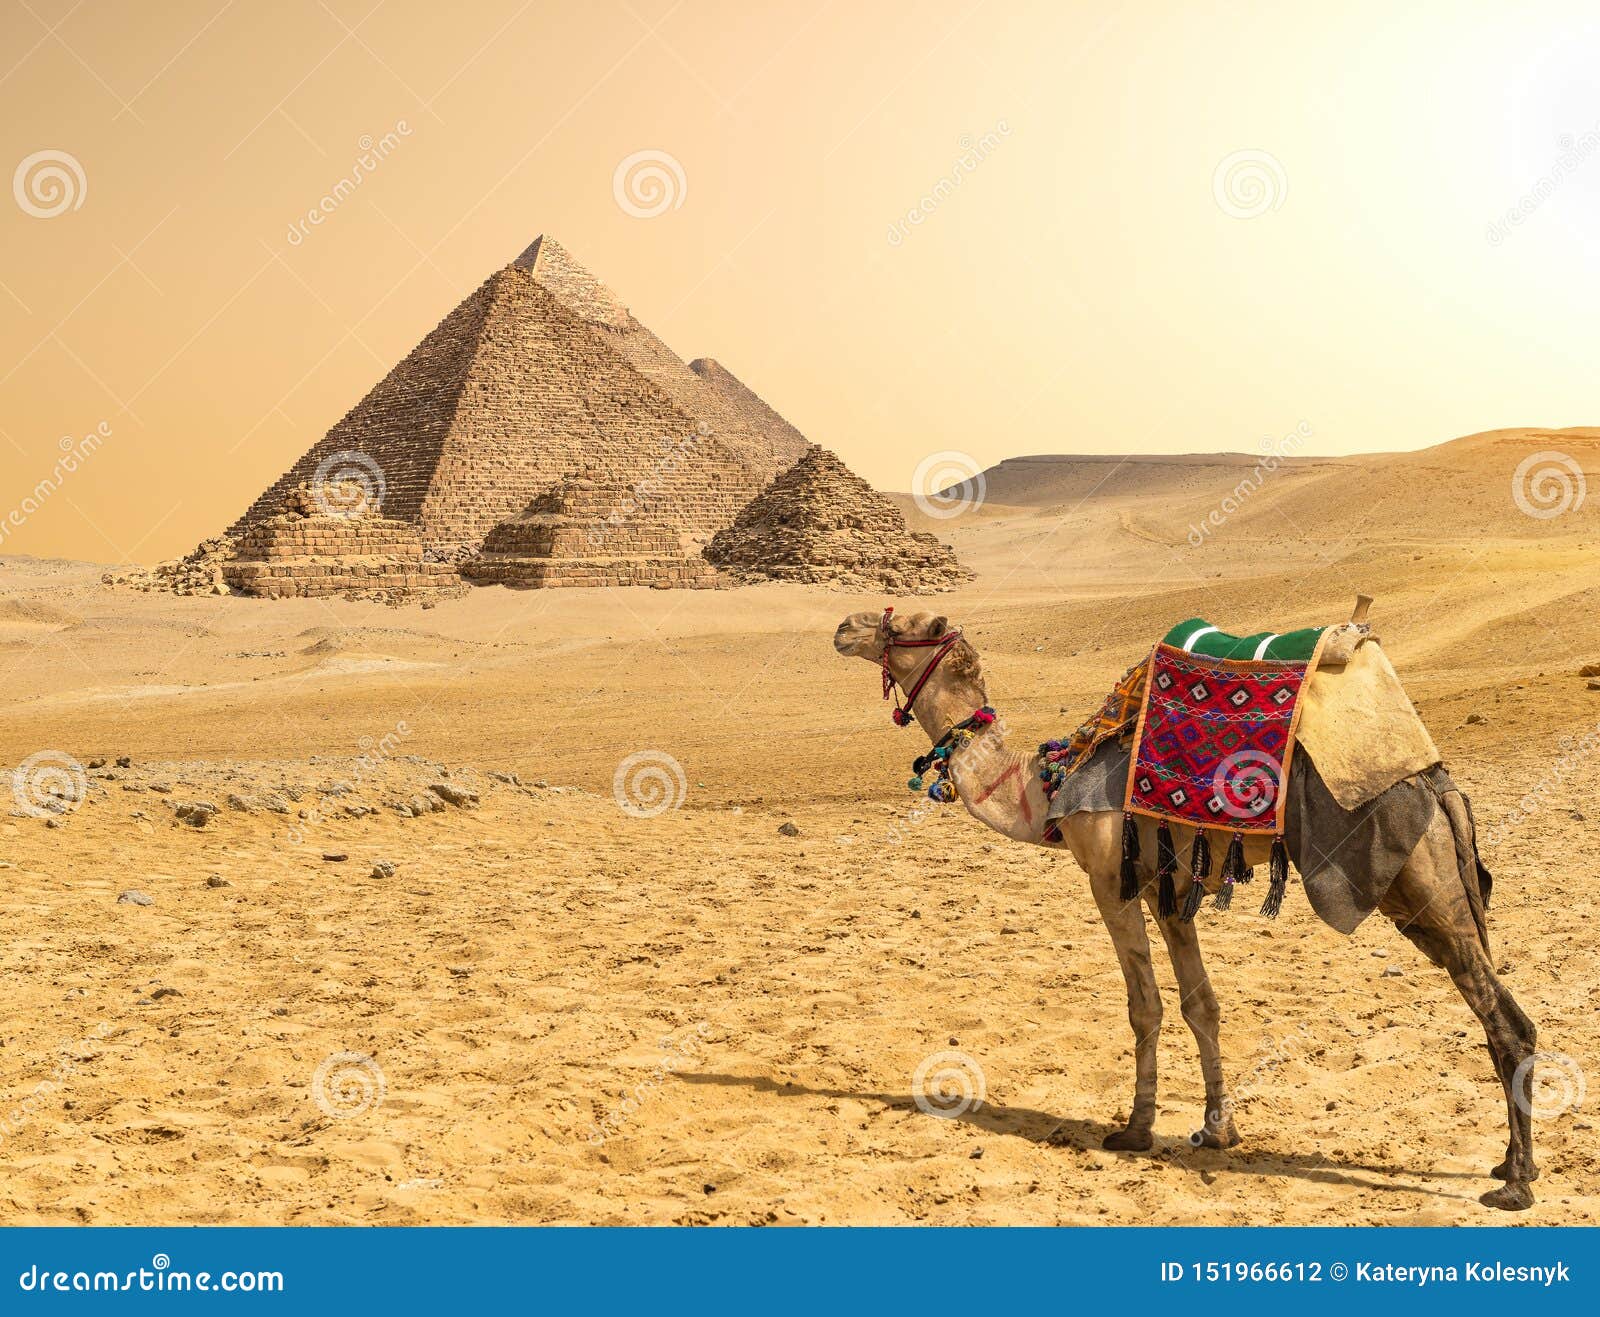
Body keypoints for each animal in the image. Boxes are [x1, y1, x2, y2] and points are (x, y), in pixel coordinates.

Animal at [833, 606, 1540, 1210]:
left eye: (909, 625)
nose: (844, 627)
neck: (1046, 786)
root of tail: (1438, 784)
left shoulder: (1109, 878)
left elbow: (1144, 1006)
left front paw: (1135, 1129)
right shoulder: (1167, 885)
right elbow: (1203, 1004)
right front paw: (1218, 1129)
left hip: (1411, 877)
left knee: (1503, 1018)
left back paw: (1516, 1184)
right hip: (1433, 889)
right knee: (1495, 1007)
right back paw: (1509, 1163)